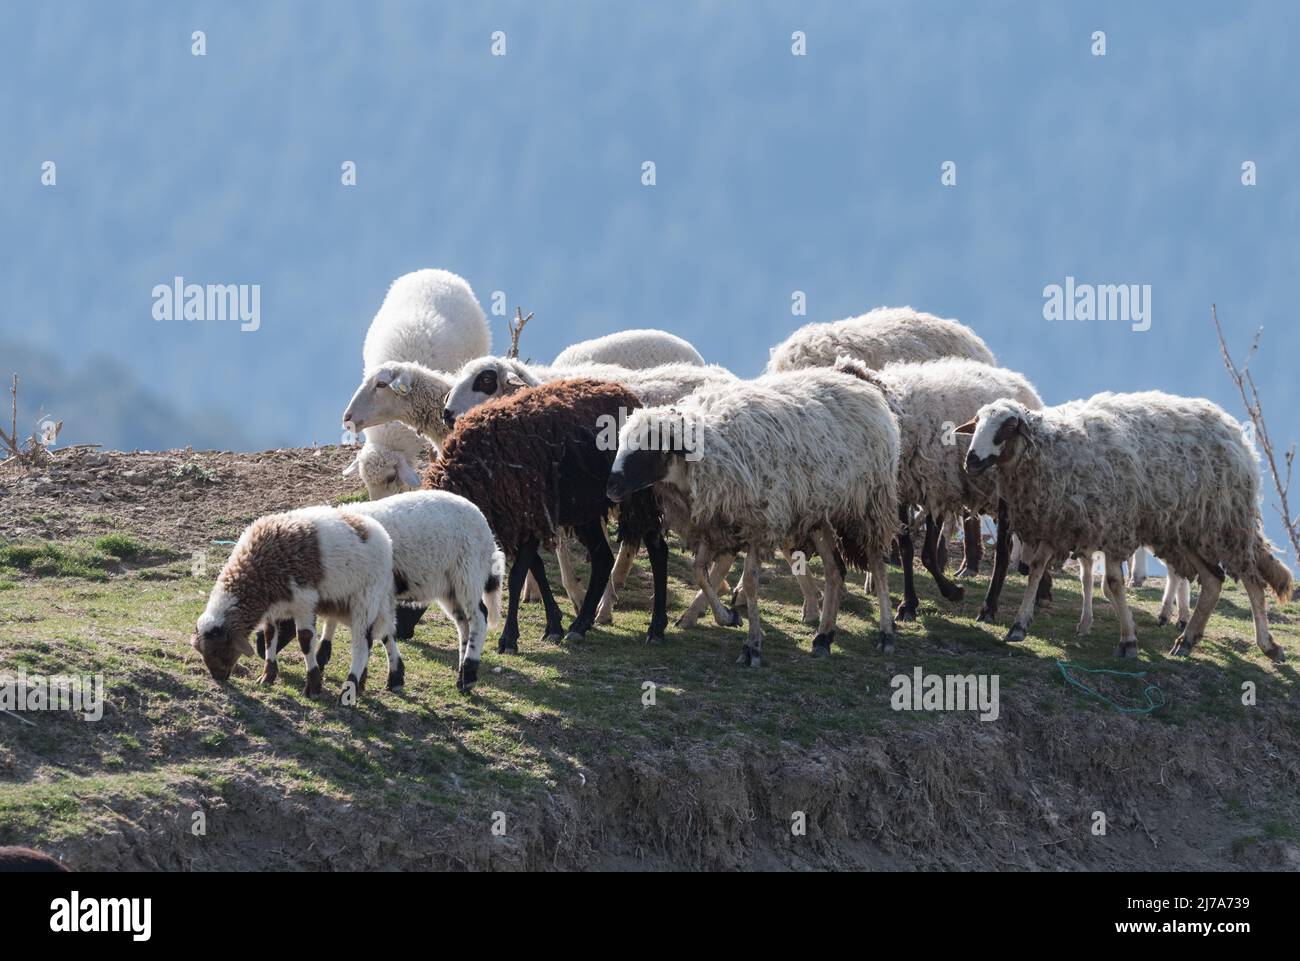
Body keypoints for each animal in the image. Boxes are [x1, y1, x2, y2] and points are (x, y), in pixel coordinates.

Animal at [192, 506, 397, 704]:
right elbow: (270, 636)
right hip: (342, 602)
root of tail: (380, 532)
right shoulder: (273, 608)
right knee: (369, 639)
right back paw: (361, 684)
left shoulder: (304, 602)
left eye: (219, 649)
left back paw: (350, 688)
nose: (218, 677)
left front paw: (313, 687)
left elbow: (304, 640)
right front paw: (267, 677)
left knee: (361, 643)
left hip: (366, 598)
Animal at [424, 379, 669, 652]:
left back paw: (656, 628)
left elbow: (518, 575)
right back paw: (580, 625)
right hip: (586, 508)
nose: (404, 633)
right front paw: (554, 624)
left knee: (658, 552)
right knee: (602, 558)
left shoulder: (528, 515)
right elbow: (537, 568)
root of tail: (627, 395)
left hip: (637, 497)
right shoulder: (515, 521)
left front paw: (509, 638)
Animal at [606, 356, 900, 665]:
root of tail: (863, 385)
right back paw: (823, 638)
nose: (610, 485)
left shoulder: (760, 524)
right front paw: (728, 617)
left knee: (877, 563)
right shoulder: (714, 524)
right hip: (819, 512)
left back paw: (886, 633)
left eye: (649, 447)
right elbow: (698, 571)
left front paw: (753, 646)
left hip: (869, 503)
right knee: (835, 571)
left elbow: (748, 583)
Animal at [871, 358, 1044, 623]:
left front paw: (952, 592)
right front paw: (908, 605)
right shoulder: (904, 491)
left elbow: (928, 554)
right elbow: (908, 549)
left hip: (1008, 493)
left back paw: (994, 607)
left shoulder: (936, 488)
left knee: (1005, 550)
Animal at [958, 390, 1292, 660]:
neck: (1052, 449)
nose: (971, 460)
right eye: (976, 423)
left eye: (1007, 427)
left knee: (1252, 581)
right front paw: (1019, 625)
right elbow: (1037, 571)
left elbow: (1113, 583)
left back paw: (1268, 645)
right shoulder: (1058, 523)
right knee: (1213, 580)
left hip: (1226, 523)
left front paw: (1128, 640)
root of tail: (1233, 429)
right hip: (1186, 531)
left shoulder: (1113, 526)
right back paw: (1186, 640)